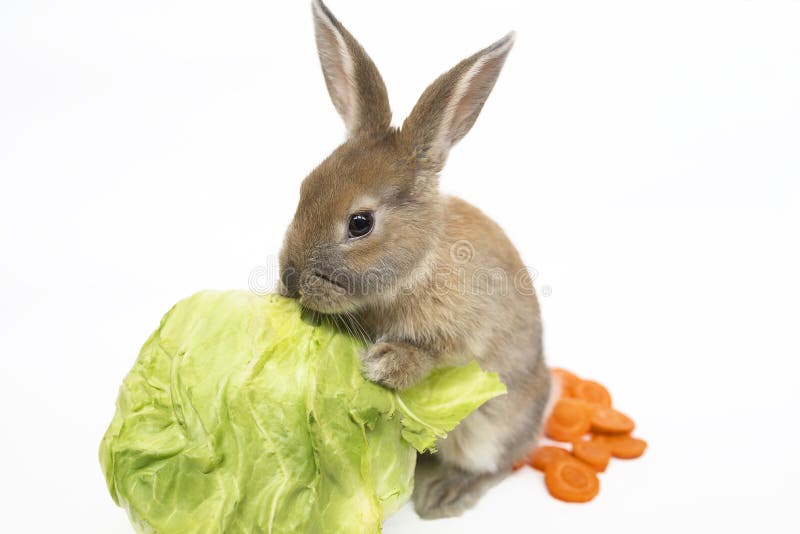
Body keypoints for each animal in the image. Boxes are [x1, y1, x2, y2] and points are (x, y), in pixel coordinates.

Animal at [278, 0, 551, 519]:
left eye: (360, 223)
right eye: (304, 188)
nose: (290, 282)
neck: (417, 266)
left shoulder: (459, 335)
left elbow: (432, 355)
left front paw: (381, 366)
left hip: (491, 427)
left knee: (498, 462)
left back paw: (443, 495)